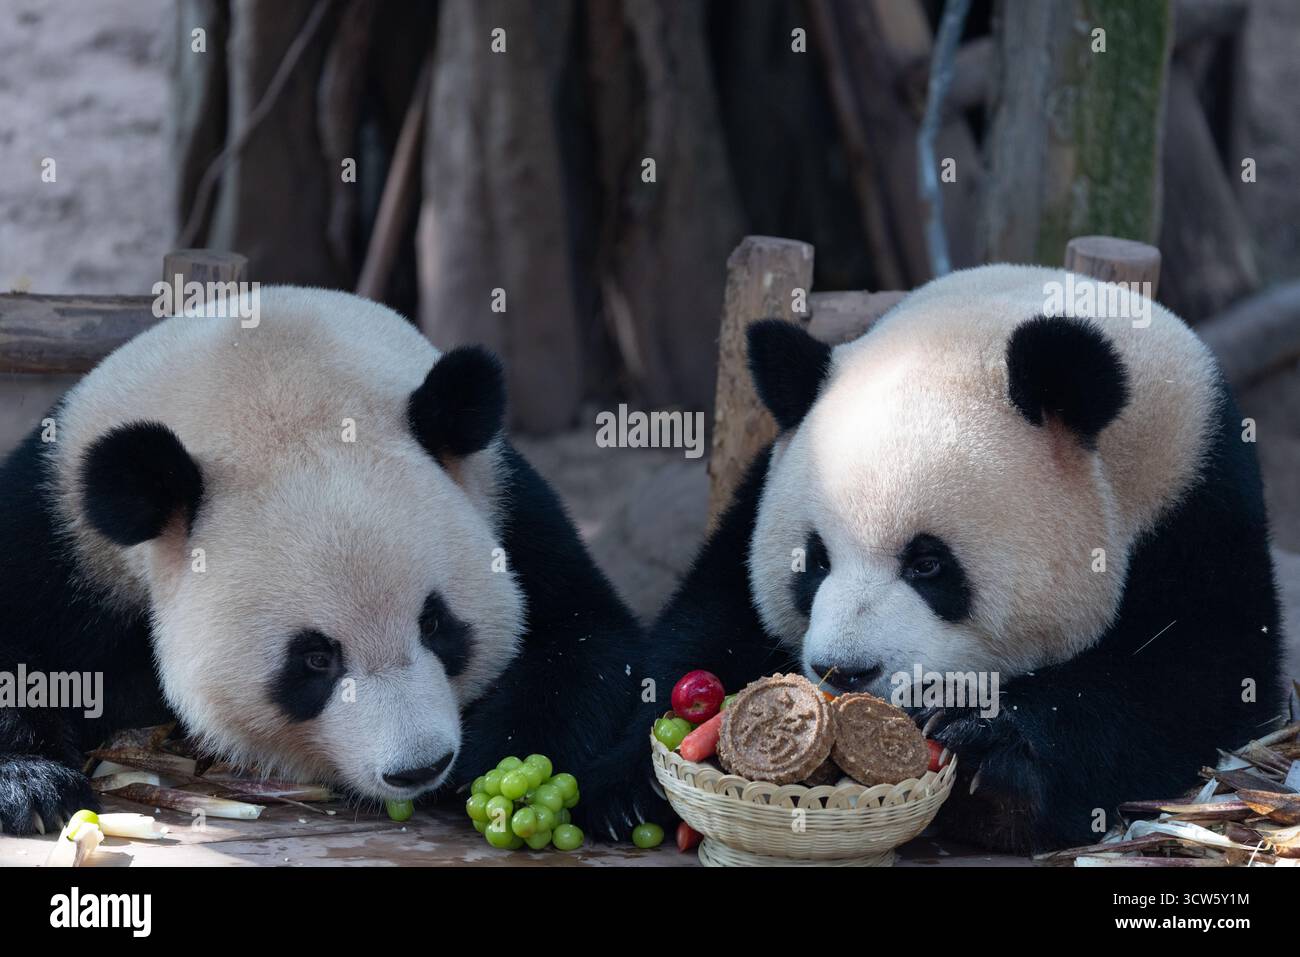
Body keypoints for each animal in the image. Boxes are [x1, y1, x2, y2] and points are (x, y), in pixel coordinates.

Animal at [0, 286, 646, 837]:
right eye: (314, 659)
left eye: (436, 624)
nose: (419, 767)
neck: (272, 388)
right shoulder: (62, 530)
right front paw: (32, 787)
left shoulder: (505, 501)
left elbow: (586, 635)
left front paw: (498, 766)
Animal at [608, 264, 1284, 853]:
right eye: (815, 562)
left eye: (928, 565)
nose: (842, 671)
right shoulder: (757, 491)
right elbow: (712, 613)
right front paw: (635, 782)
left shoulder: (1197, 507)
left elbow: (1192, 680)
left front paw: (989, 759)